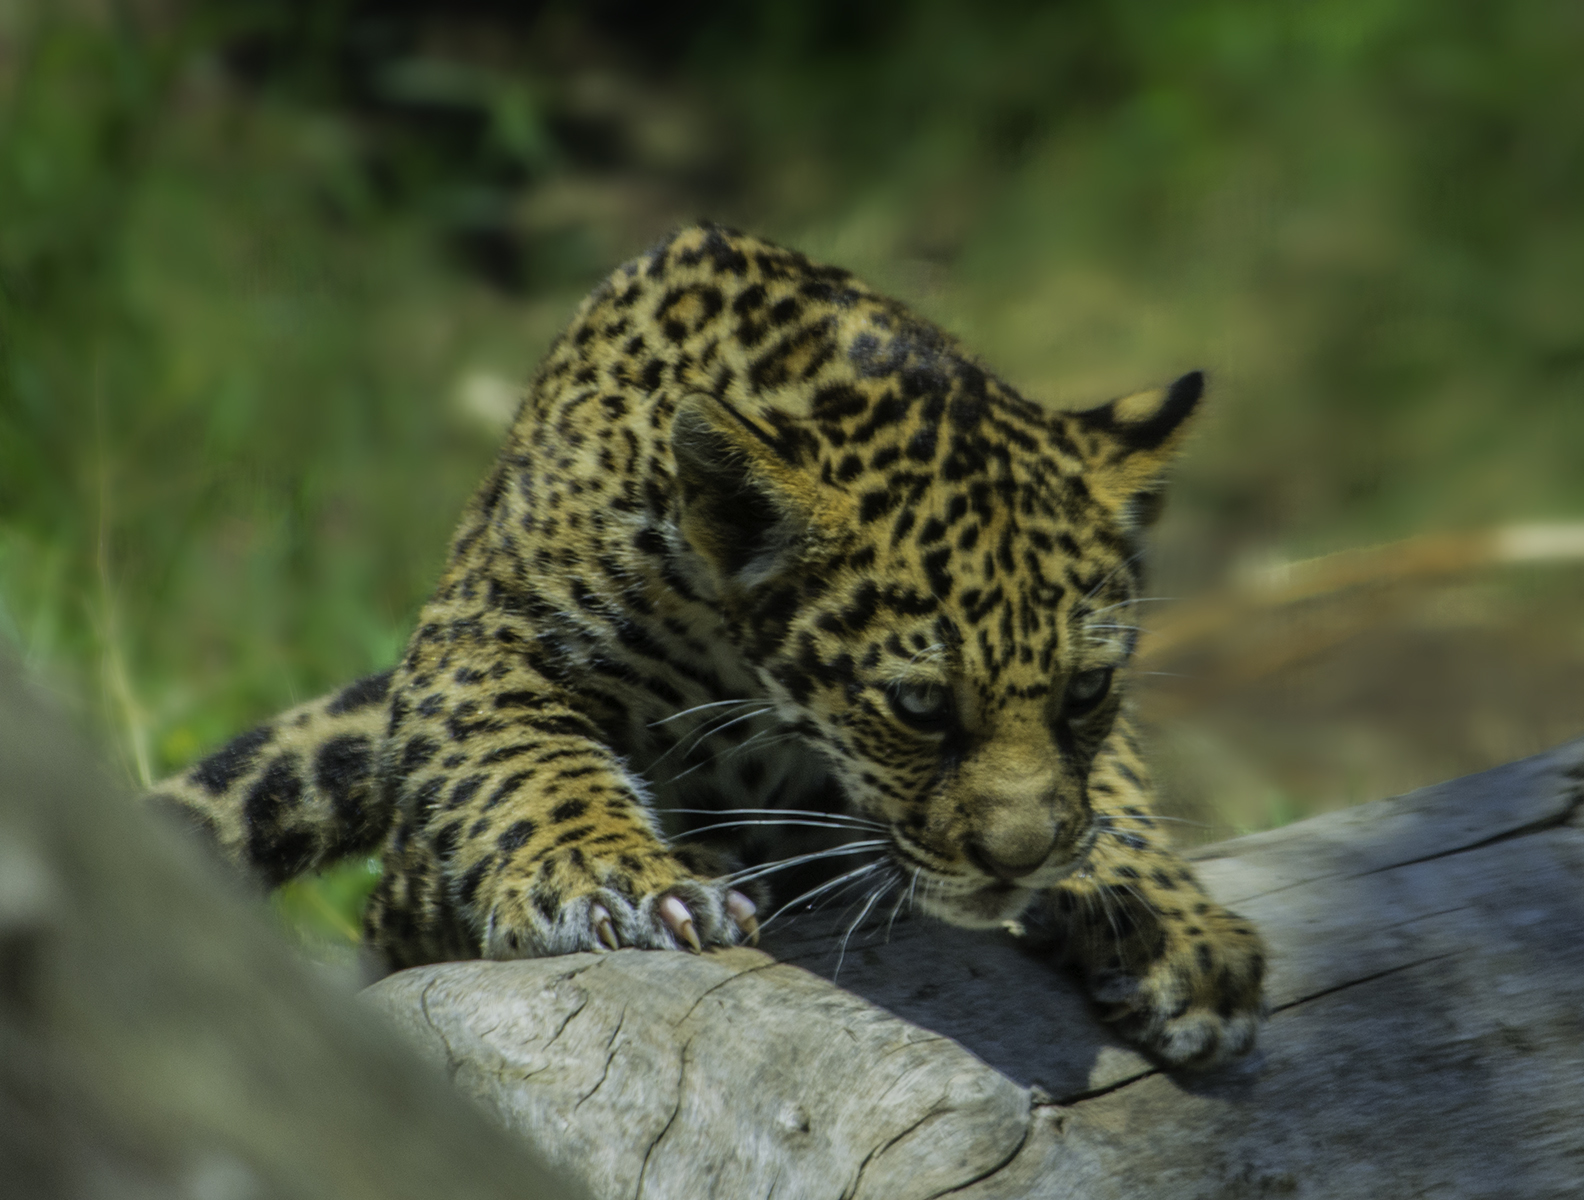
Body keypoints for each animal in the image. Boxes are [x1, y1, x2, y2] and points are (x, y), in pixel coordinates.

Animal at [148, 222, 1266, 1068]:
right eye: (917, 706)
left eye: (1086, 692)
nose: (1016, 861)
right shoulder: (484, 638)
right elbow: (527, 765)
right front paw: (613, 877)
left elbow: (1112, 788)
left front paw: (1170, 922)